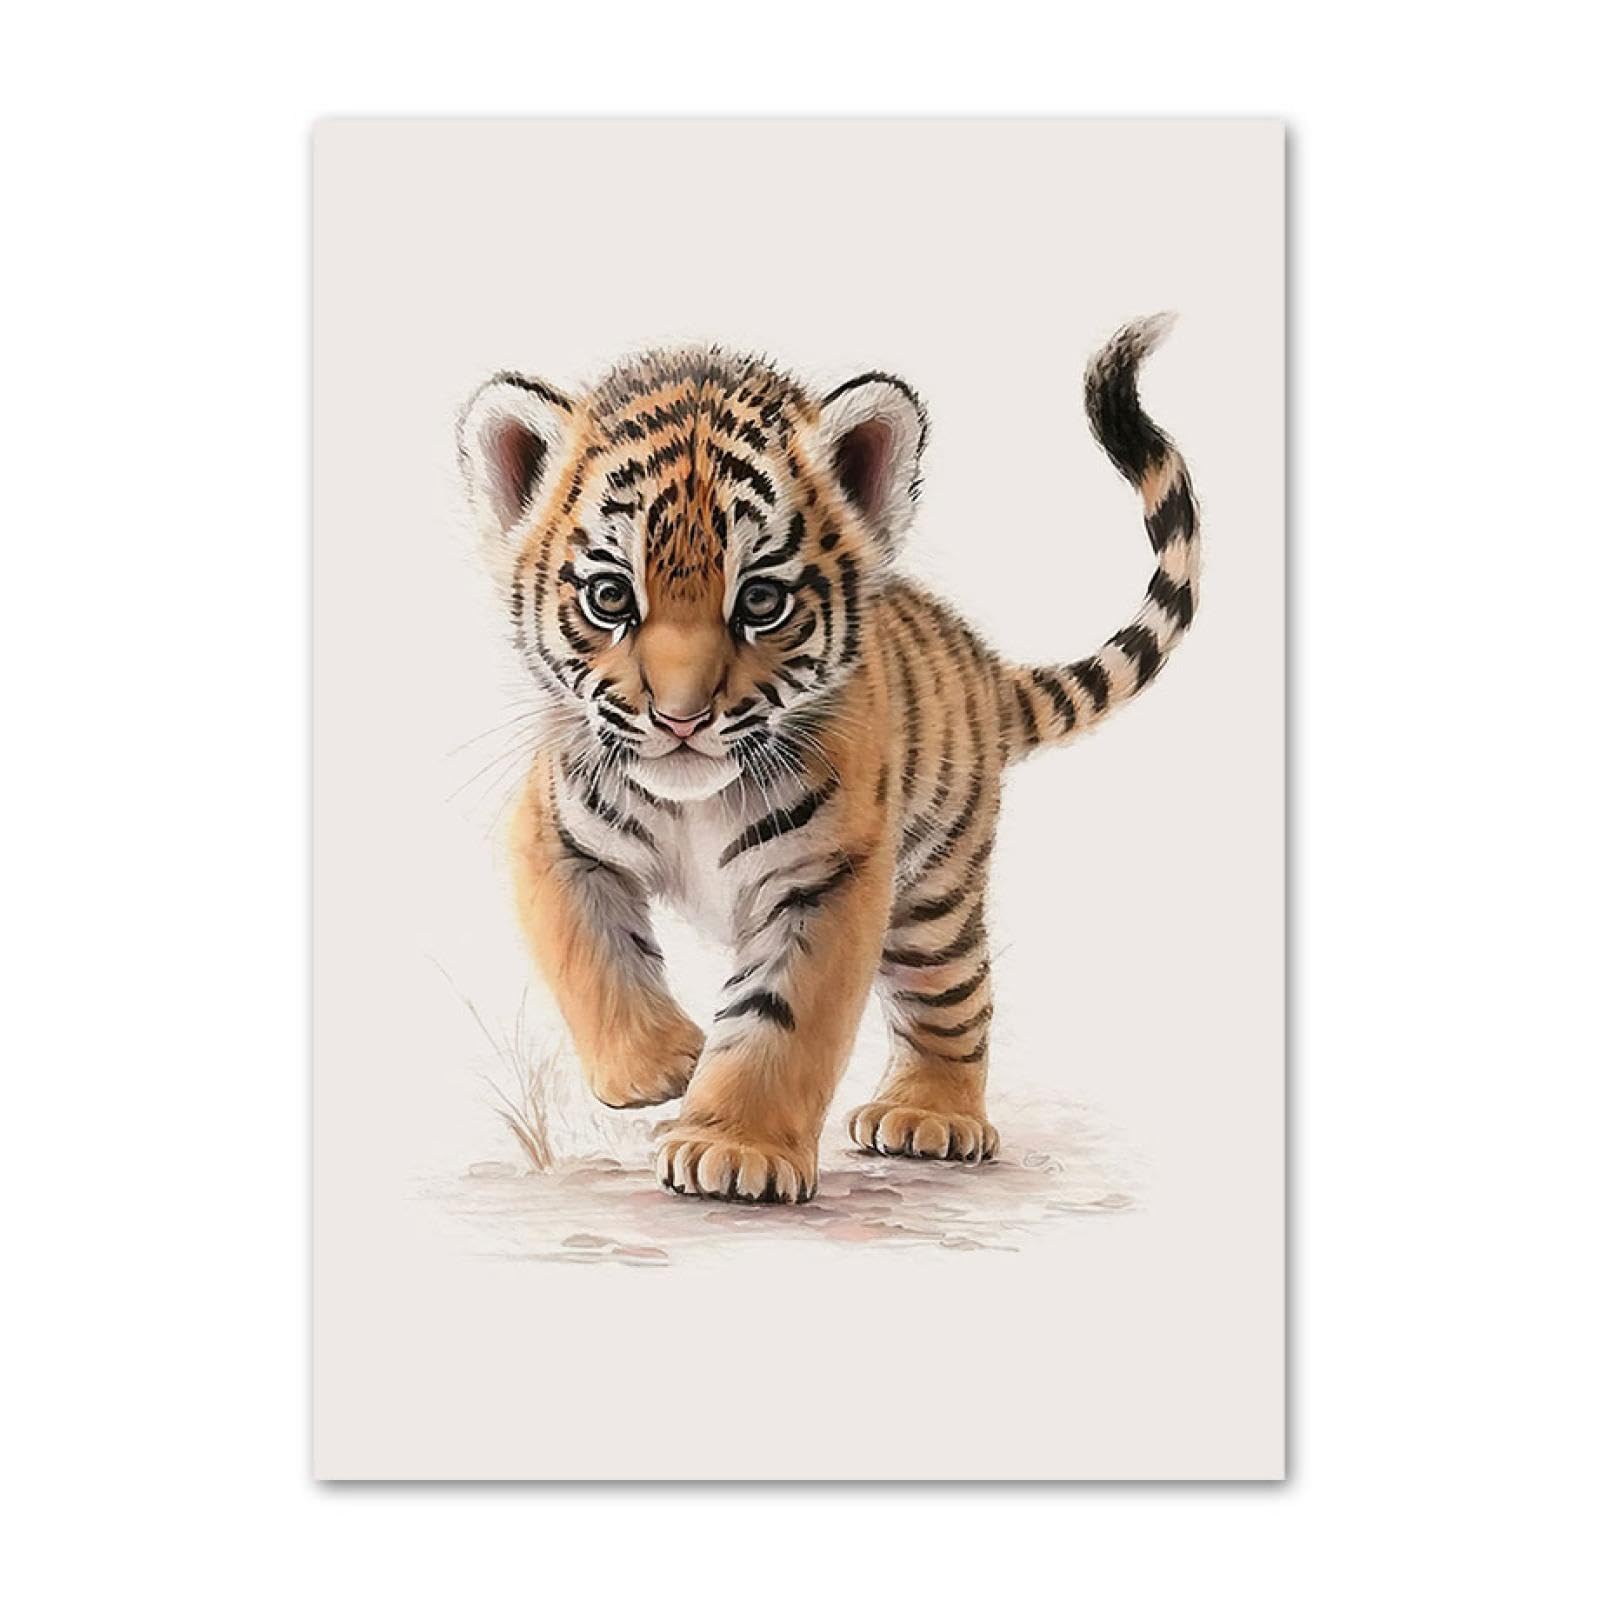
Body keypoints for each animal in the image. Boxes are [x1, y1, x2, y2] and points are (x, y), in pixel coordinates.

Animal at [456, 315, 1199, 1204]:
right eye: (610, 598)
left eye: (760, 601)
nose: (680, 719)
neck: (695, 800)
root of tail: (982, 662)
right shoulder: (554, 832)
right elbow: (589, 953)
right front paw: (658, 1068)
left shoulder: (831, 875)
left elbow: (784, 1014)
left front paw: (735, 1147)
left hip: (934, 896)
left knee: (959, 995)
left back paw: (930, 1115)